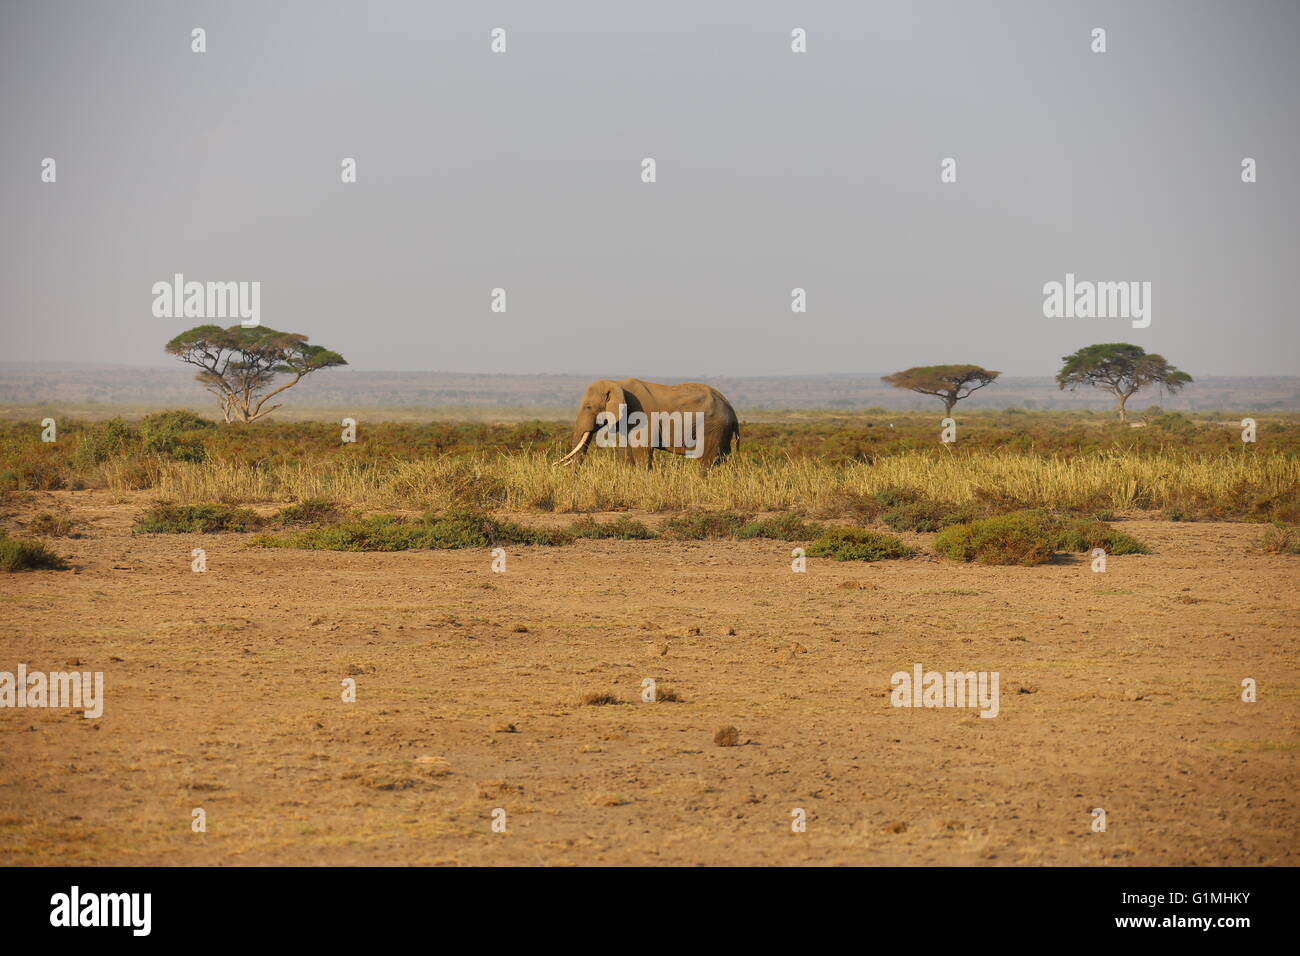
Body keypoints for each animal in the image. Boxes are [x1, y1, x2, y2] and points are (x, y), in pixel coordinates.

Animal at [556, 378, 740, 470]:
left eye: (588, 407)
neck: (617, 384)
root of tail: (732, 410)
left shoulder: (642, 415)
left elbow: (642, 449)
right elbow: (627, 451)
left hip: (713, 427)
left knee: (706, 462)